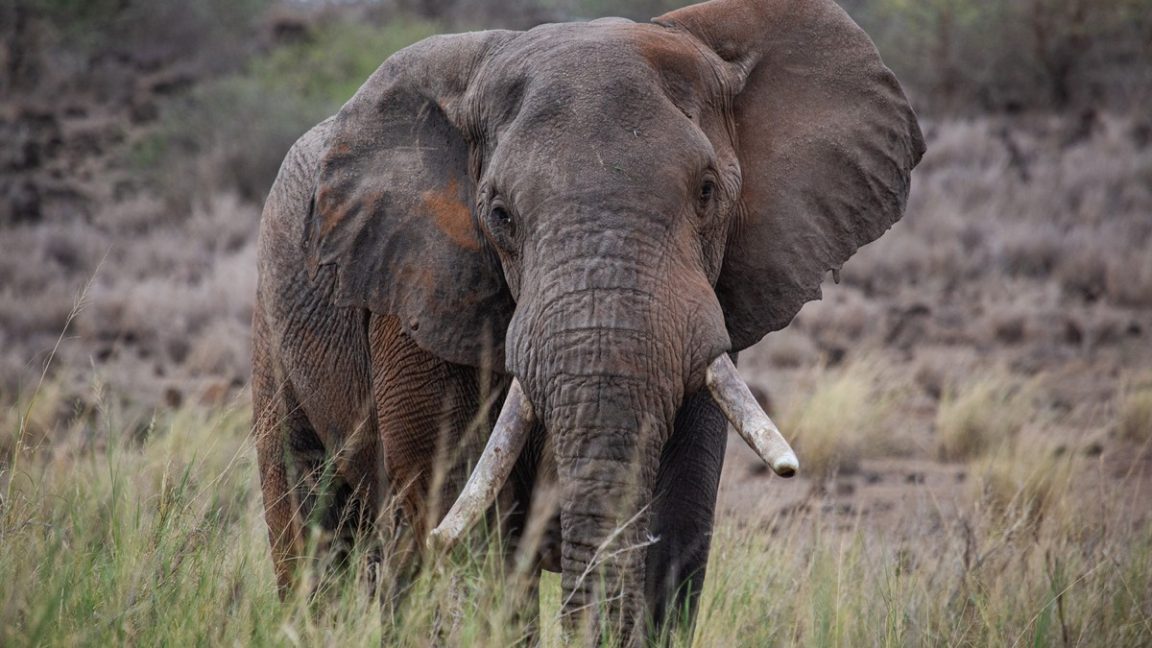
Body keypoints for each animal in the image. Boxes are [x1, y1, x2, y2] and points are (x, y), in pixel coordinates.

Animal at [251, 0, 924, 643]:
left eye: (708, 192)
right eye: (500, 215)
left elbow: (677, 522)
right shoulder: (418, 285)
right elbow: (458, 511)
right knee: (314, 530)